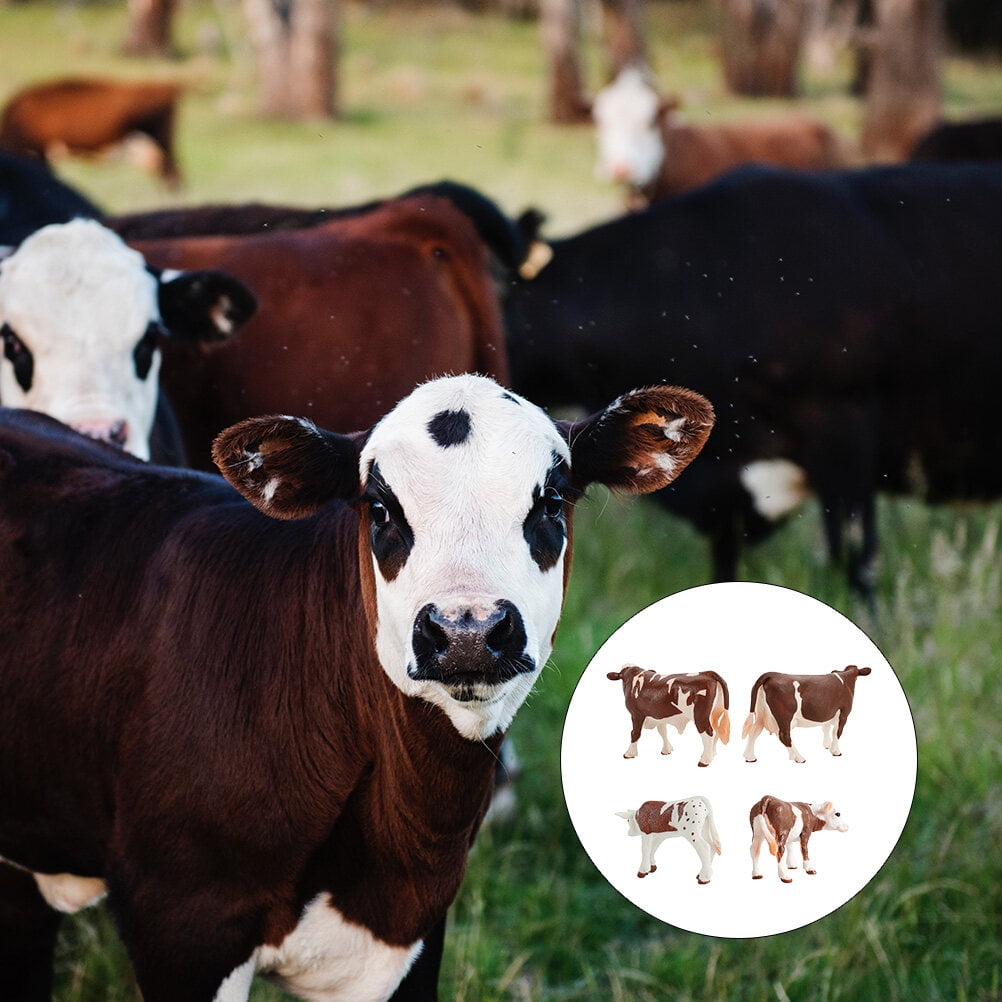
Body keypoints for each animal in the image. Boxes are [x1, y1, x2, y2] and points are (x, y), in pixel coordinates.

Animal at [742, 665, 871, 764]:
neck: (845, 678)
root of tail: (771, 674)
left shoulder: (827, 713)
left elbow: (825, 728)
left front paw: (827, 745)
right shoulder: (843, 713)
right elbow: (837, 733)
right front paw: (835, 751)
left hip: (761, 713)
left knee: (754, 731)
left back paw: (749, 757)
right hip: (784, 716)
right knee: (784, 735)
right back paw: (799, 758)